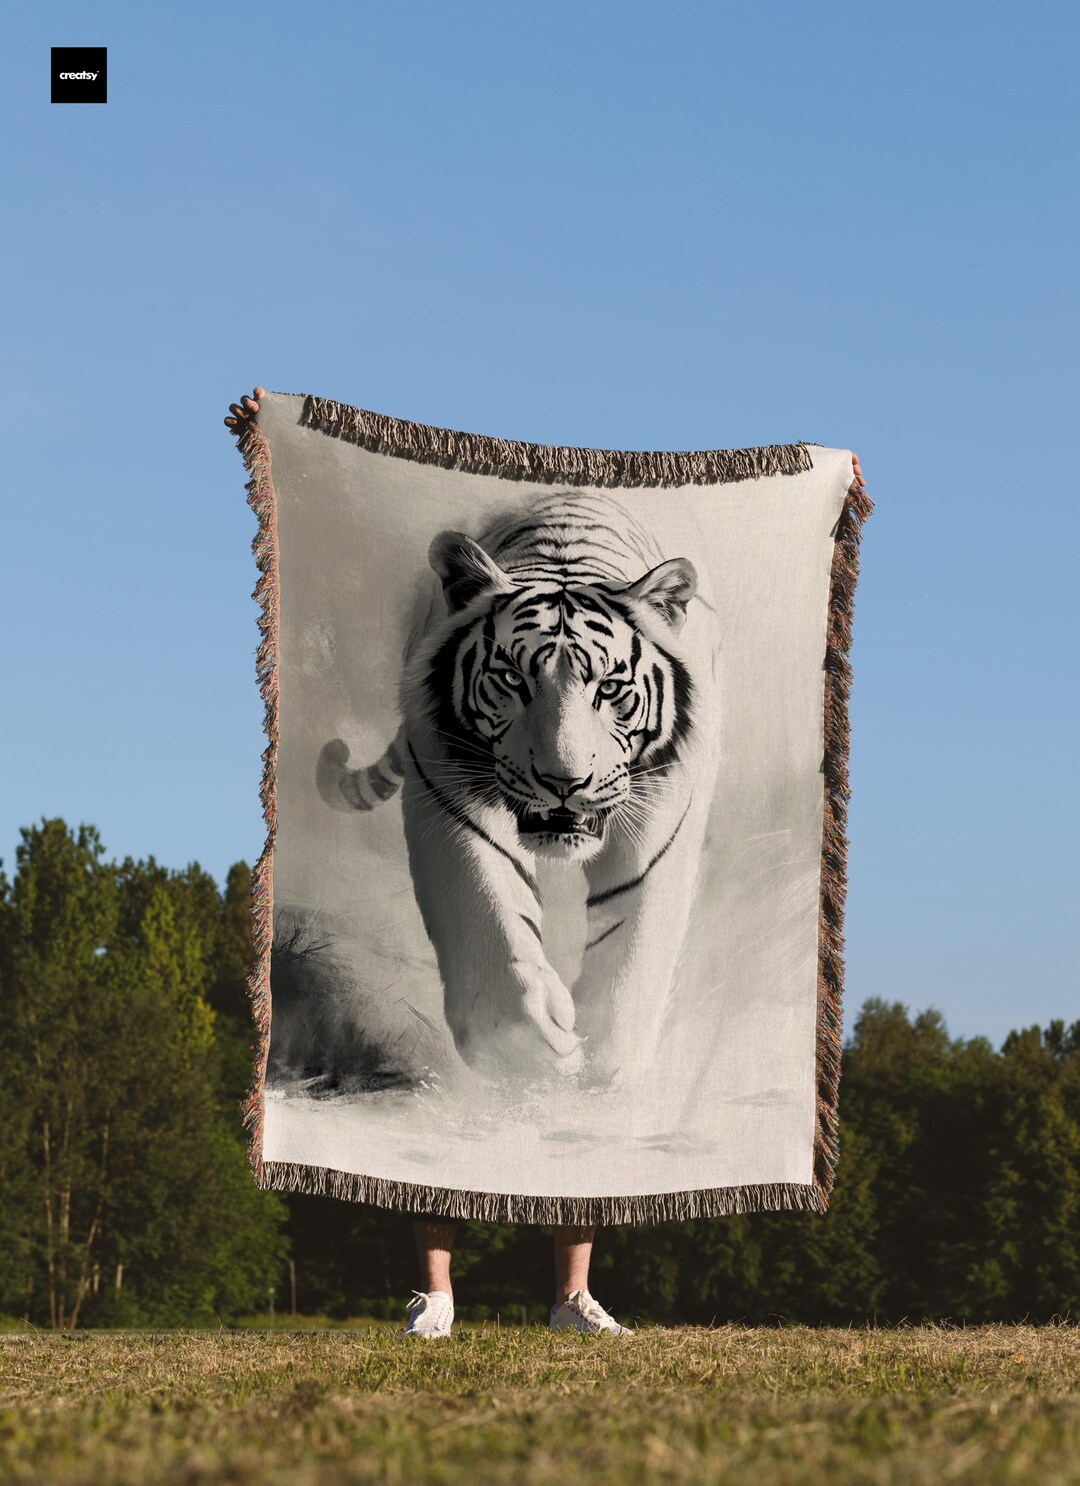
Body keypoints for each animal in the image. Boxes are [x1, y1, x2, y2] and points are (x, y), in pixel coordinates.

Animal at [317, 491, 719, 1087]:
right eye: (512, 679)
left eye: (609, 688)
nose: (564, 782)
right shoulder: (447, 791)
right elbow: (485, 905)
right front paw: (524, 1049)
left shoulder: (661, 816)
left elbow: (634, 941)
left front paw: (606, 1065)